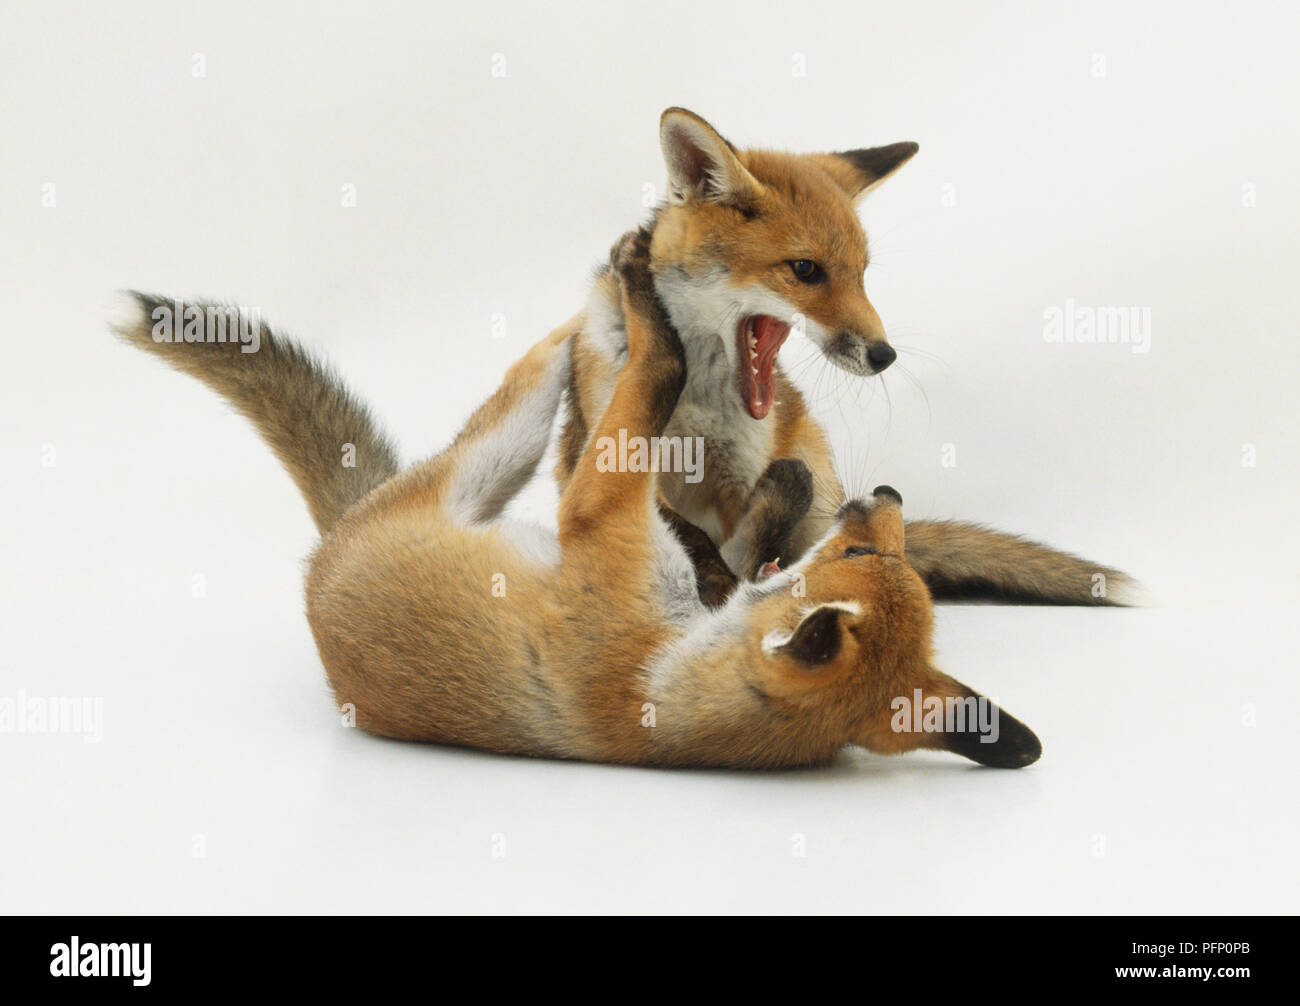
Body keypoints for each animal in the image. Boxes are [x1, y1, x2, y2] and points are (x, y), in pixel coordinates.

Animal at [109, 234, 1041, 769]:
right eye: (872, 551)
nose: (884, 496)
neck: (660, 688)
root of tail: (327, 547)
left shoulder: (600, 518)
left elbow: (658, 375)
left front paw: (650, 318)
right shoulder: (697, 562)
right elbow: (745, 532)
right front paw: (782, 497)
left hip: (483, 457)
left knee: (545, 361)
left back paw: (614, 295)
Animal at [559, 107, 1141, 604]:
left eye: (862, 273)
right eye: (805, 270)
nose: (884, 356)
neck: (695, 406)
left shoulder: (740, 480)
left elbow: (749, 546)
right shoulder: (621, 448)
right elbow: (686, 536)